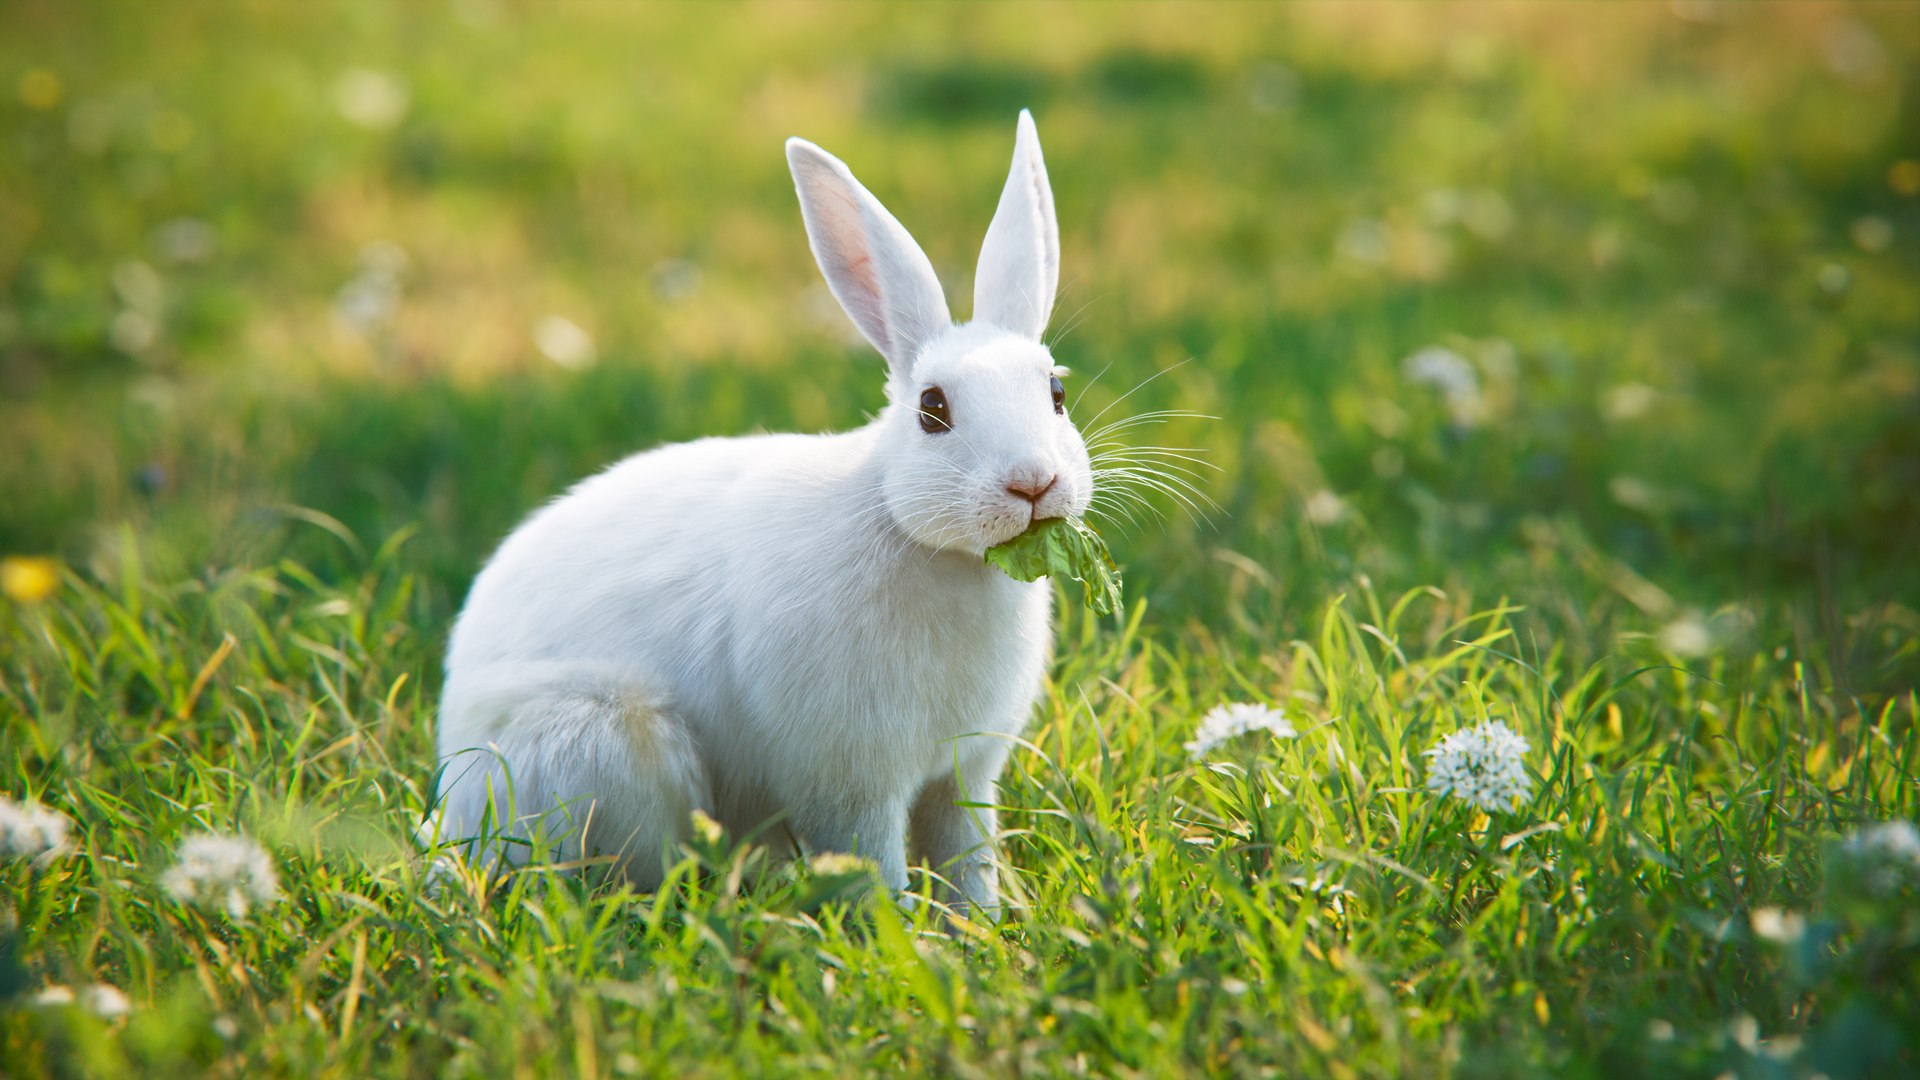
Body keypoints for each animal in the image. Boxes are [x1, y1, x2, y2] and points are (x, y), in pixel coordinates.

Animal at [431, 109, 1090, 919]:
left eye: (1056, 392)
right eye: (932, 410)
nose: (1033, 482)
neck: (920, 541)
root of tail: (455, 795)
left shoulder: (961, 775)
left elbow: (967, 856)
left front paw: (980, 926)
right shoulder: (849, 778)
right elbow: (872, 858)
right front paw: (899, 929)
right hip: (604, 745)